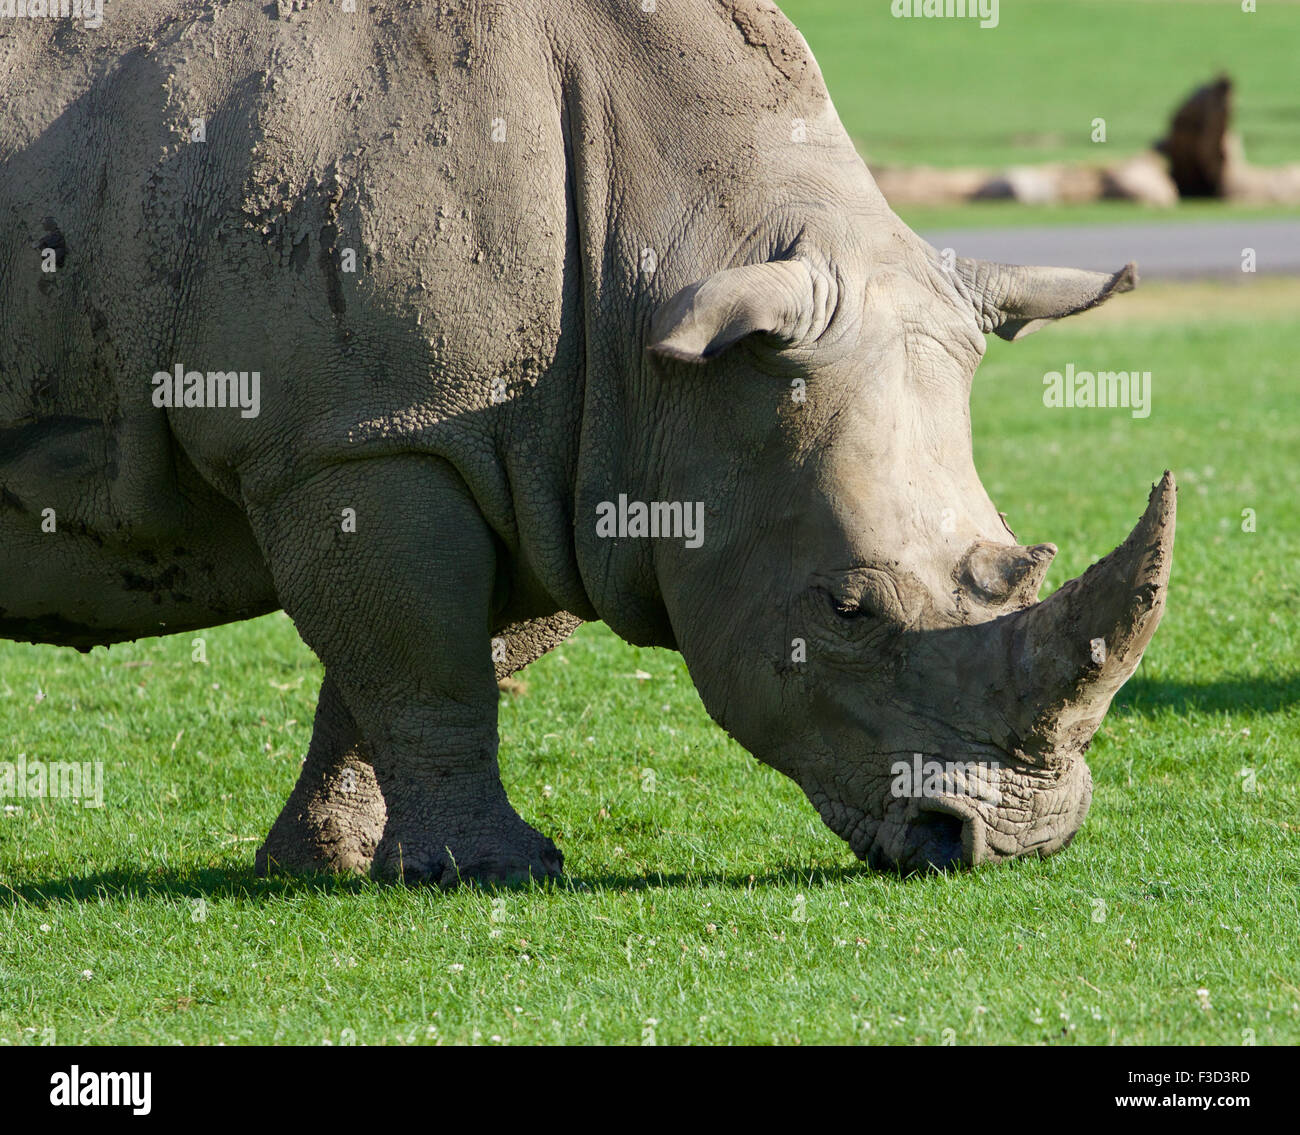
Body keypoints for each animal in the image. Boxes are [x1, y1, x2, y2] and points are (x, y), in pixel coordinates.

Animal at [0, 0, 1174, 884]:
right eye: (843, 610)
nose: (1012, 840)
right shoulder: (356, 436)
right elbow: (420, 660)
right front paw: (488, 872)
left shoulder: (550, 453)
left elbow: (426, 660)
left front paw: (325, 864)